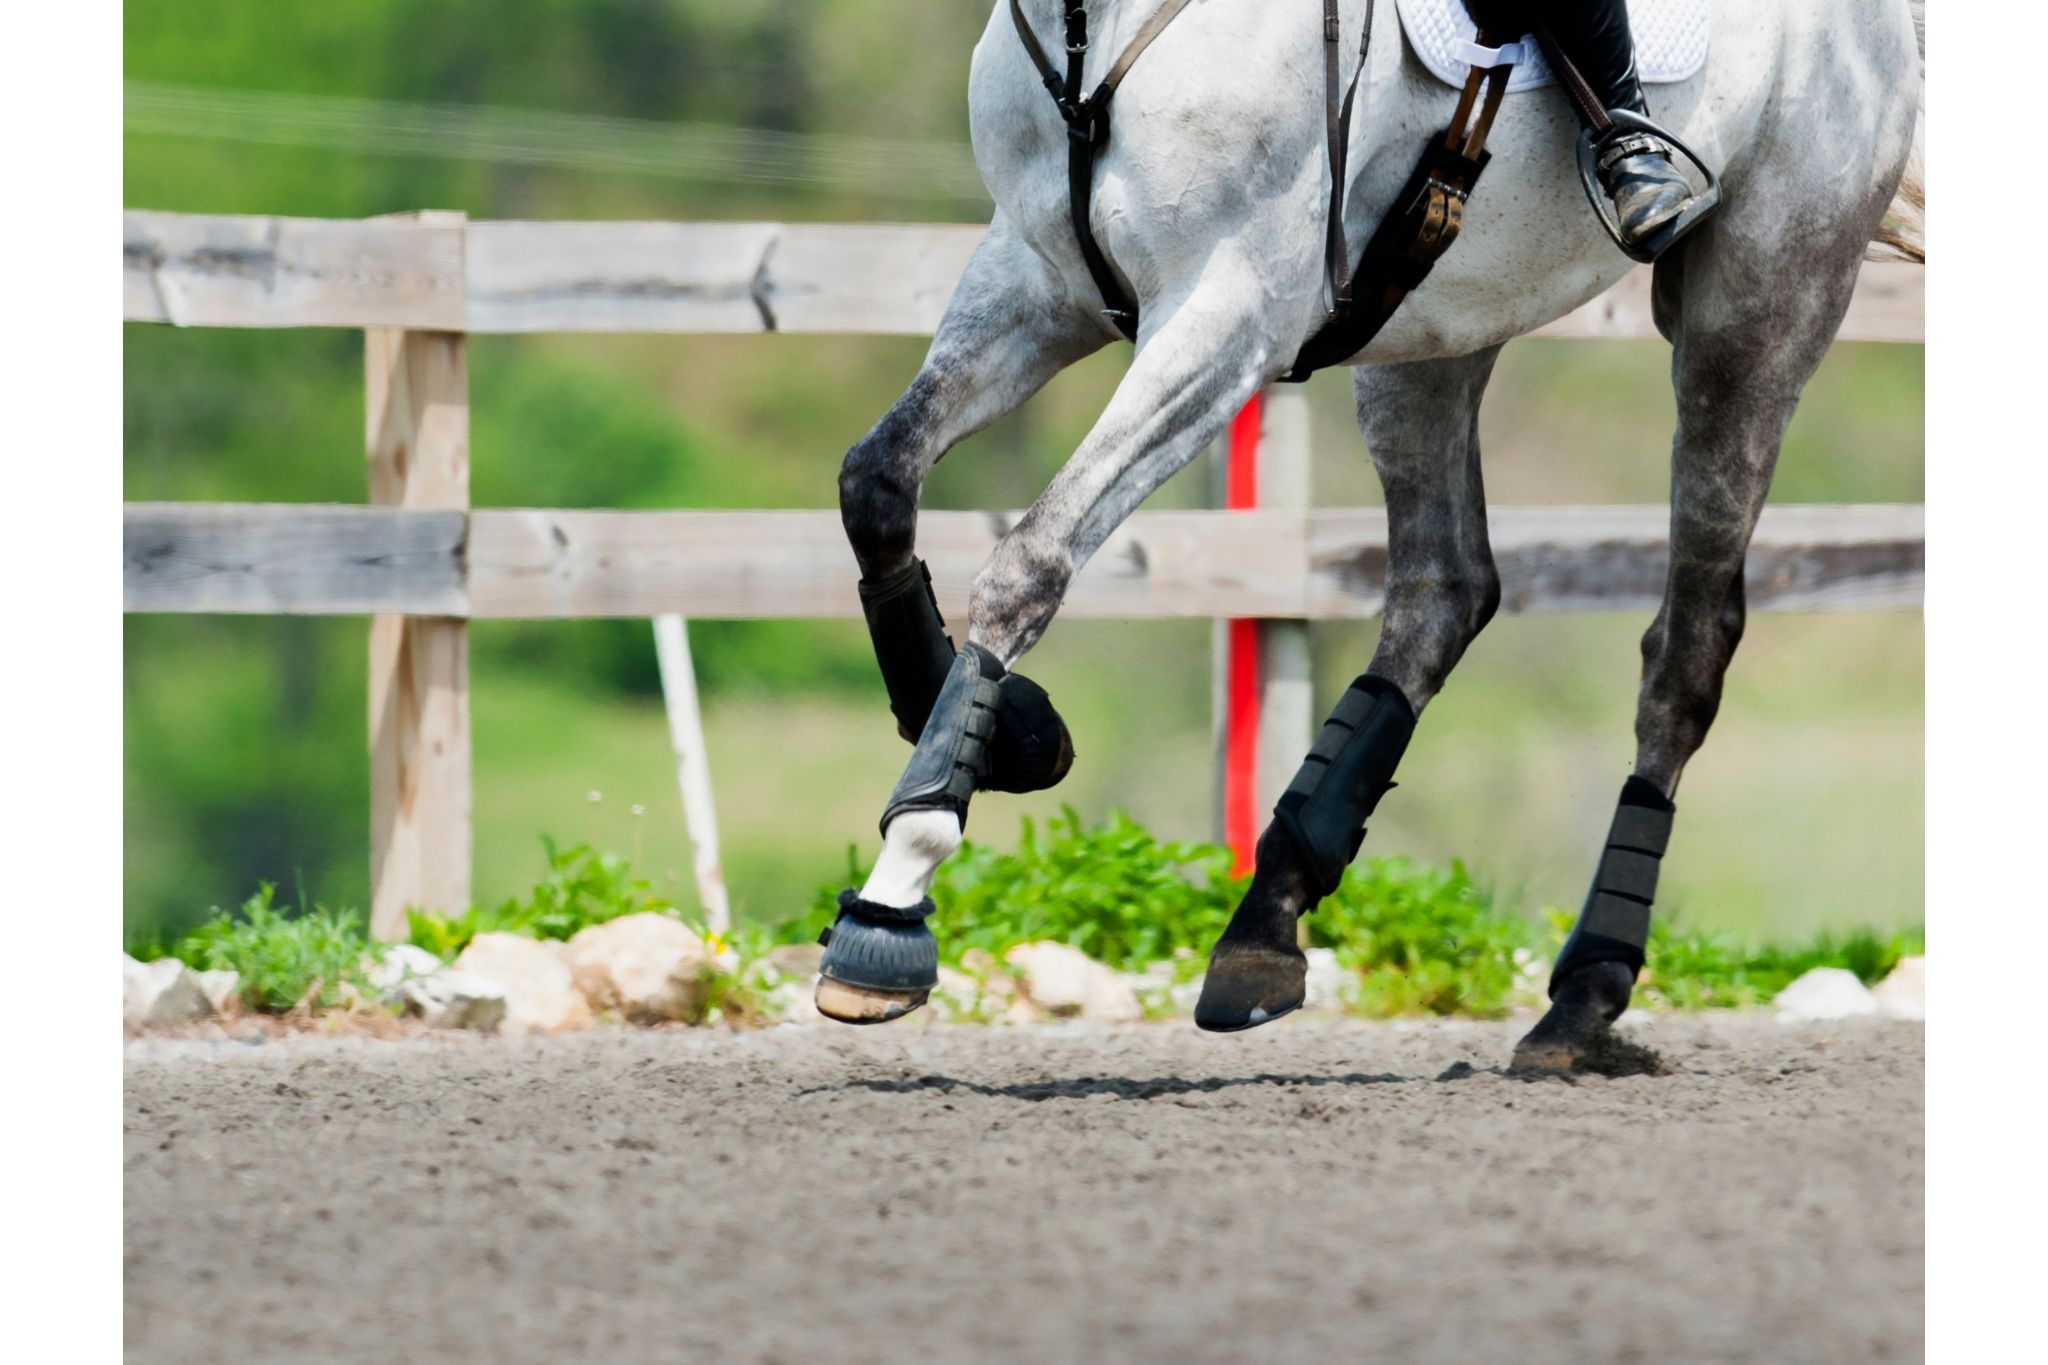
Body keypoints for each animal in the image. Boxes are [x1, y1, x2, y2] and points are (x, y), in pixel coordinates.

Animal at [815, 0, 1923, 1070]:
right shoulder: (1034, 279)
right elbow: (875, 481)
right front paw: (1014, 732)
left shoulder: (1225, 320)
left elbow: (1030, 562)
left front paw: (896, 892)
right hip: (1434, 317)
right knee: (1444, 592)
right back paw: (1263, 926)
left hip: (1757, 309)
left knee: (1685, 643)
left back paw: (1582, 995)